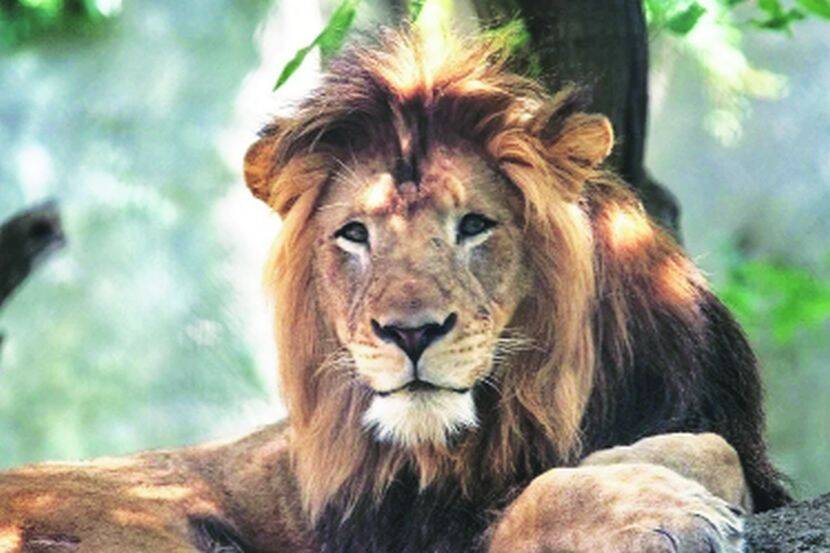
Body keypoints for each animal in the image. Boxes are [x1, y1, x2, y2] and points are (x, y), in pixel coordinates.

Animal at [0, 29, 789, 552]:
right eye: (354, 234)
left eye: (474, 225)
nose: (410, 332)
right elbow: (538, 498)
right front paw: (652, 507)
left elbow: (710, 446)